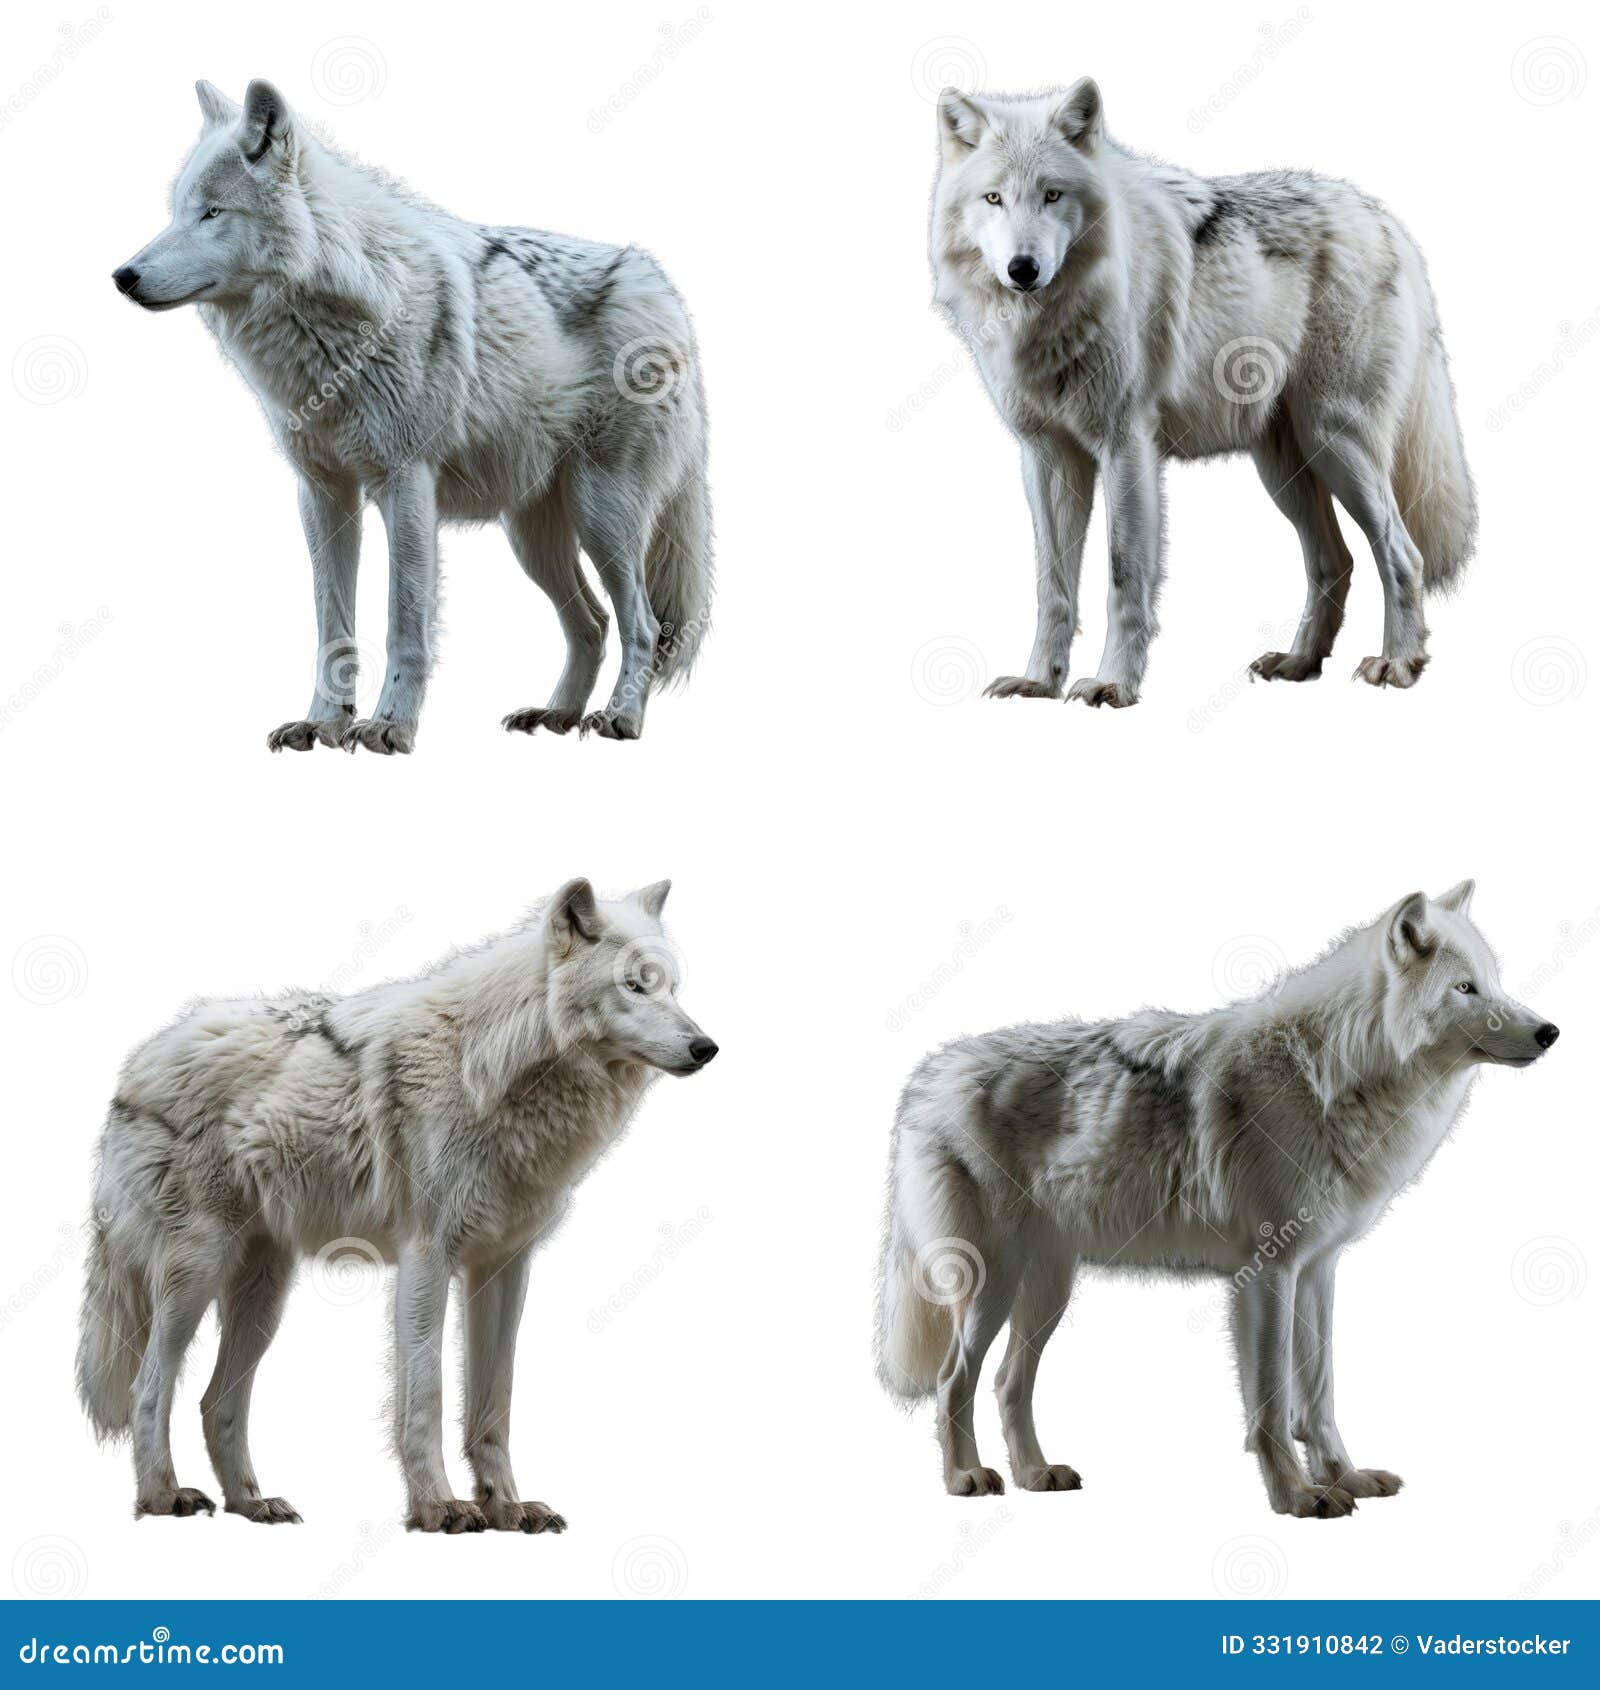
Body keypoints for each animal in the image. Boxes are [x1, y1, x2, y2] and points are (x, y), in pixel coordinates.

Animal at [77, 879, 717, 1531]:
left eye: (669, 986)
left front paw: (507, 1508)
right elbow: (426, 1395)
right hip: (199, 1271)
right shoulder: (427, 1255)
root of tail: (138, 1062)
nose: (706, 1047)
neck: (494, 1067)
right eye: (633, 985)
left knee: (216, 1402)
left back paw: (252, 1502)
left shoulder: (504, 1265)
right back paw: (163, 1497)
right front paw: (439, 1505)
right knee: (149, 1388)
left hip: (264, 1293)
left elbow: (494, 1404)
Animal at [112, 80, 712, 752]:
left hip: (602, 515)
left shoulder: (405, 483)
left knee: (643, 623)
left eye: (212, 213)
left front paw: (390, 724)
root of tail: (661, 287)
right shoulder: (323, 494)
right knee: (592, 621)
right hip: (533, 536)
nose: (123, 276)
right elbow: (331, 625)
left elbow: (404, 619)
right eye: (177, 212)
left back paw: (620, 719)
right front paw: (323, 723)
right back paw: (556, 714)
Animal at [876, 883, 1557, 1517]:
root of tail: (929, 1077)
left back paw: (1037, 1474)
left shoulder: (1318, 1269)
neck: (1334, 1073)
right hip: (993, 1281)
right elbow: (1273, 1403)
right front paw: (1298, 1496)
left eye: (1494, 983)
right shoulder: (1269, 1272)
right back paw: (967, 1478)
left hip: (1048, 1290)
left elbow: (1320, 1393)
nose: (1551, 1031)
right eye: (1465, 988)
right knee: (954, 1379)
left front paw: (1345, 1477)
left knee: (1007, 1383)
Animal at [931, 80, 1475, 707]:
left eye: (1052, 195)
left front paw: (1114, 682)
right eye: (994, 198)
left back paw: (1398, 662)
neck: (1054, 316)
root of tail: (1385, 221)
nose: (1023, 269)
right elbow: (1053, 586)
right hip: (1287, 470)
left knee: (1401, 554)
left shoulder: (1126, 448)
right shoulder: (1047, 456)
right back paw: (1299, 662)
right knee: (1333, 560)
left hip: (1337, 443)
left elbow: (1123, 576)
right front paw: (1040, 680)